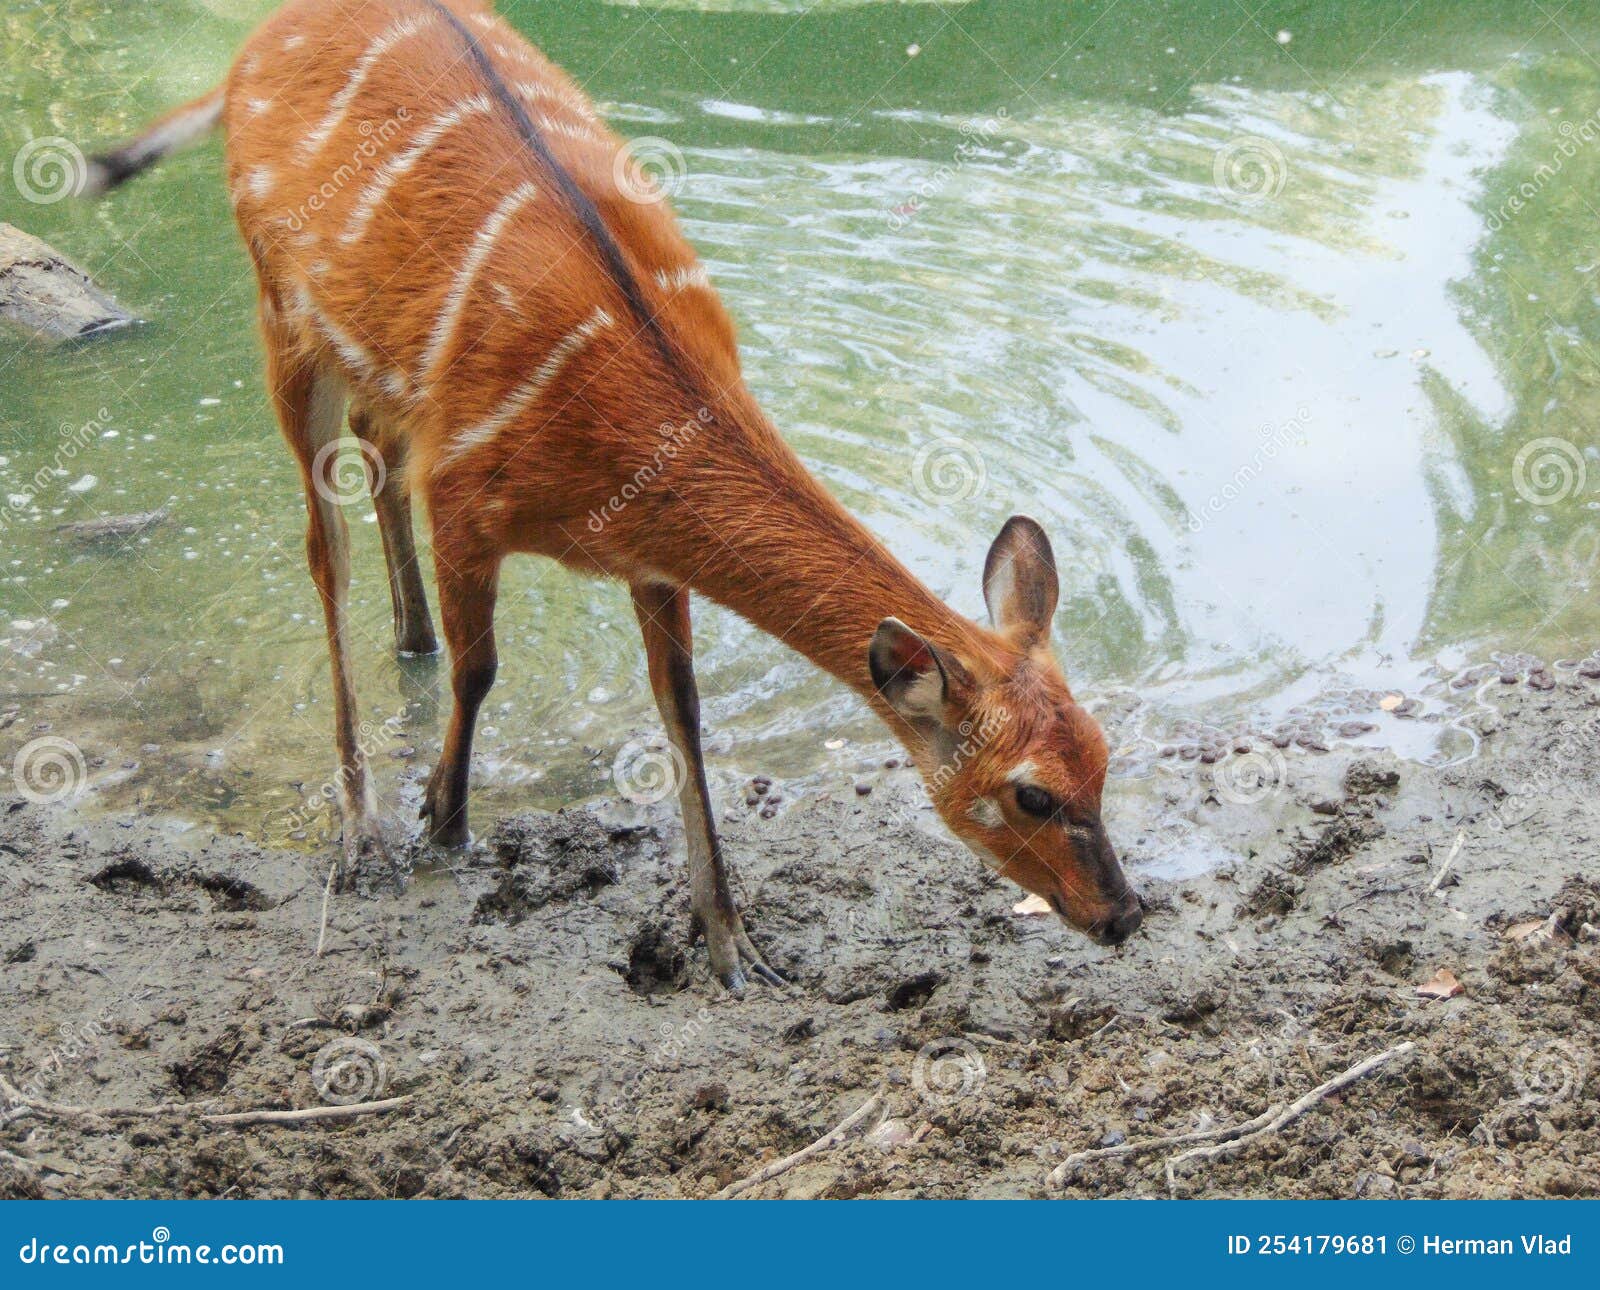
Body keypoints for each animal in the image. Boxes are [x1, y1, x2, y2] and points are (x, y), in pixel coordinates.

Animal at [84, 0, 1142, 988]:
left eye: (1103, 755)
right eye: (1033, 793)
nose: (1125, 915)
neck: (630, 434)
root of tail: (250, 48)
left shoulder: (649, 555)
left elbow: (682, 713)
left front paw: (733, 944)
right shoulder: (463, 492)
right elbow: (482, 672)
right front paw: (441, 828)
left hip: (373, 364)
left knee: (373, 454)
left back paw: (410, 642)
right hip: (282, 315)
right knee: (322, 549)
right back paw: (362, 831)